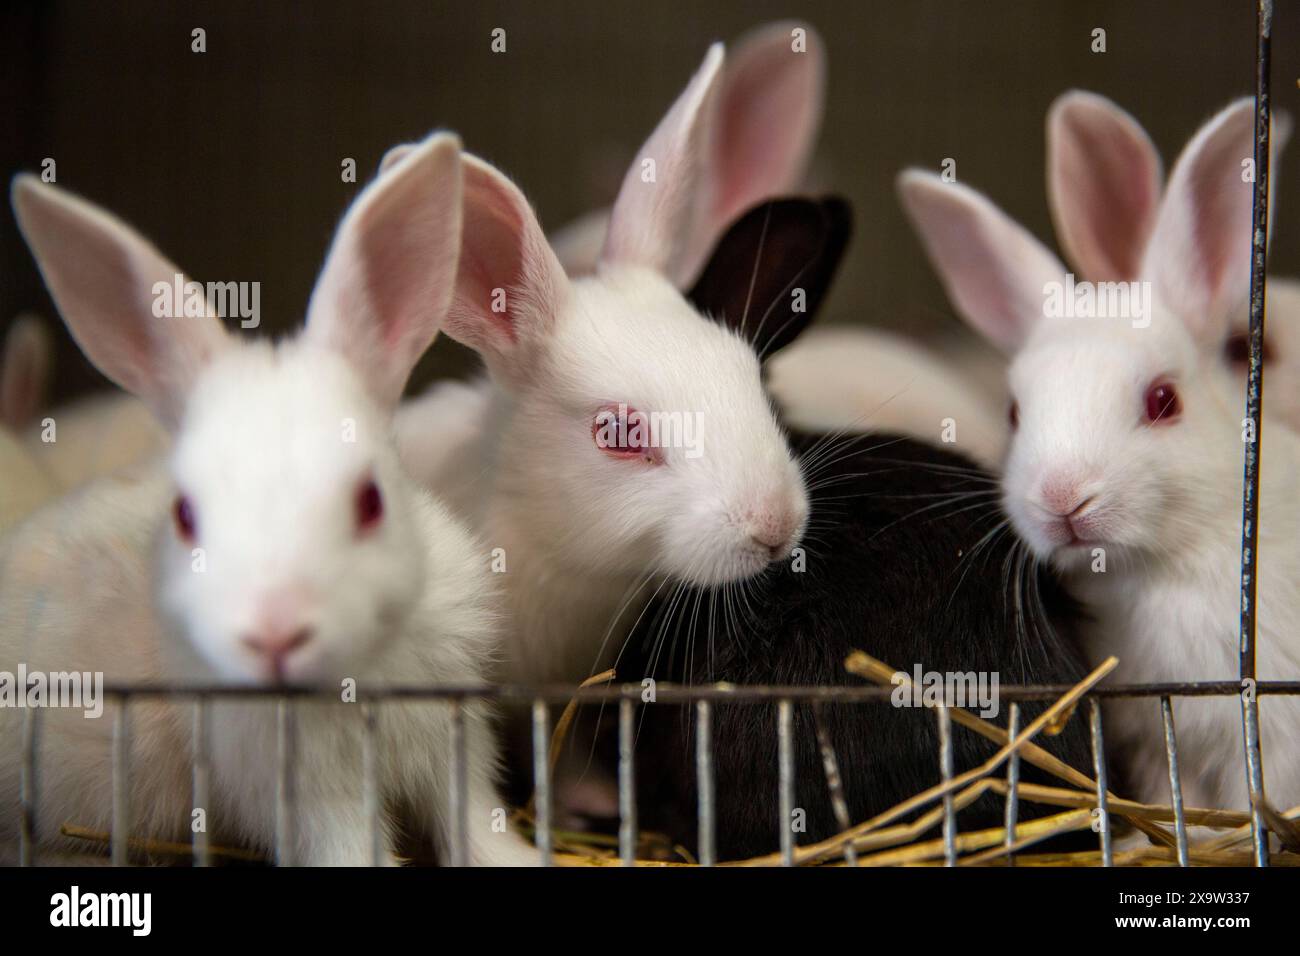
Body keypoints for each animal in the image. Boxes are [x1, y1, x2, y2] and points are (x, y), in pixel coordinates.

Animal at [0, 133, 538, 867]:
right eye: (185, 515)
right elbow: (354, 850)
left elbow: (475, 822)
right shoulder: (309, 800)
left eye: (370, 500)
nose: (275, 634)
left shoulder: (456, 742)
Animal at [897, 98, 1300, 817]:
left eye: (1164, 400)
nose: (1063, 498)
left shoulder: (1266, 740)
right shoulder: (1154, 744)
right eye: (1014, 412)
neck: (1158, 569)